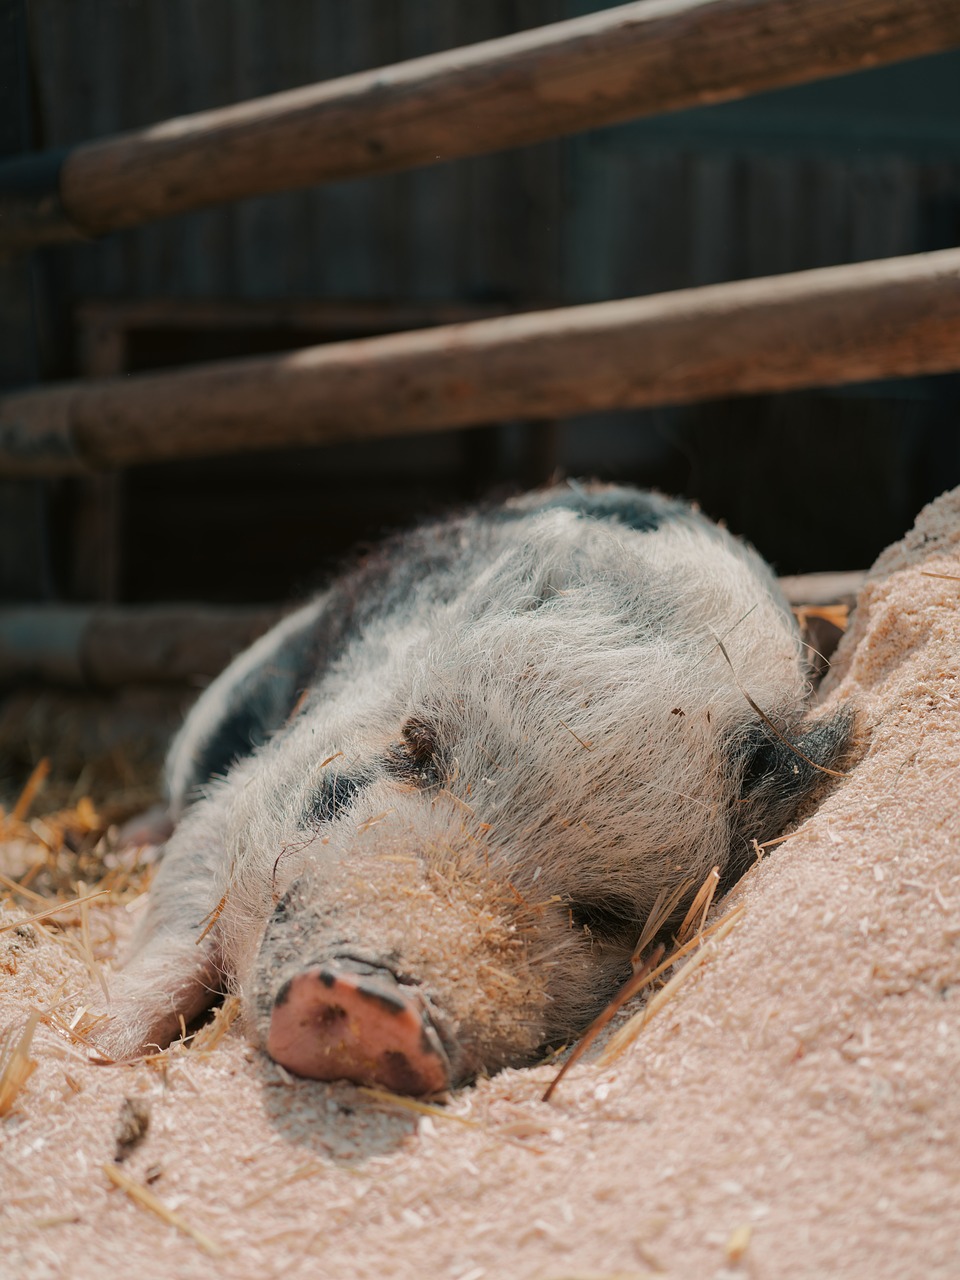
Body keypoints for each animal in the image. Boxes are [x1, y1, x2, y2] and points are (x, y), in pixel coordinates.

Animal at [94, 482, 849, 1094]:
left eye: (606, 914)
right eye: (415, 748)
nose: (377, 999)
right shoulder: (248, 788)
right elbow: (184, 911)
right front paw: (99, 1046)